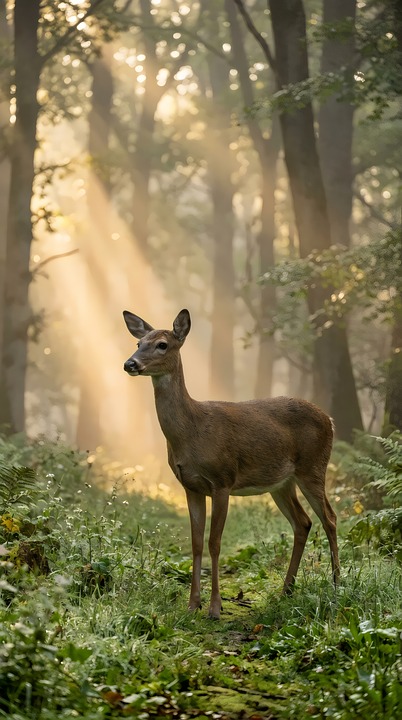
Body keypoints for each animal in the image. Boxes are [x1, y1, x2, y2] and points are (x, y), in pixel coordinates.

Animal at [123, 308, 340, 620]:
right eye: (139, 343)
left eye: (162, 344)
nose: (130, 363)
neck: (192, 431)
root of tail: (330, 420)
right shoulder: (191, 486)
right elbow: (196, 543)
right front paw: (192, 604)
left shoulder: (223, 479)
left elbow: (215, 543)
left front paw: (215, 607)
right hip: (281, 482)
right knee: (303, 522)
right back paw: (286, 590)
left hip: (313, 466)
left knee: (330, 518)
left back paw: (336, 585)